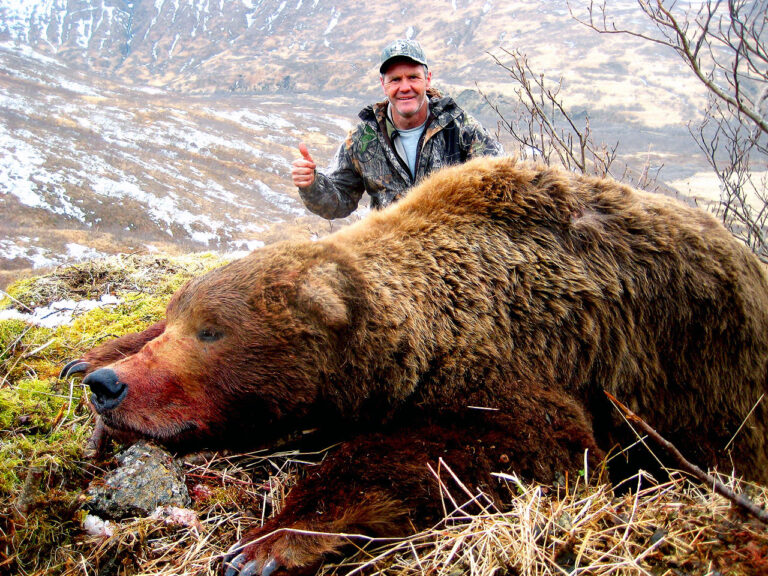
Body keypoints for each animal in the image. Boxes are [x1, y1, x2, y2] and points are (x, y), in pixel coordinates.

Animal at [61, 157, 768, 576]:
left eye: (213, 331)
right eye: (181, 317)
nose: (109, 389)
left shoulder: (526, 355)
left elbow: (522, 447)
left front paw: (271, 540)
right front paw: (90, 356)